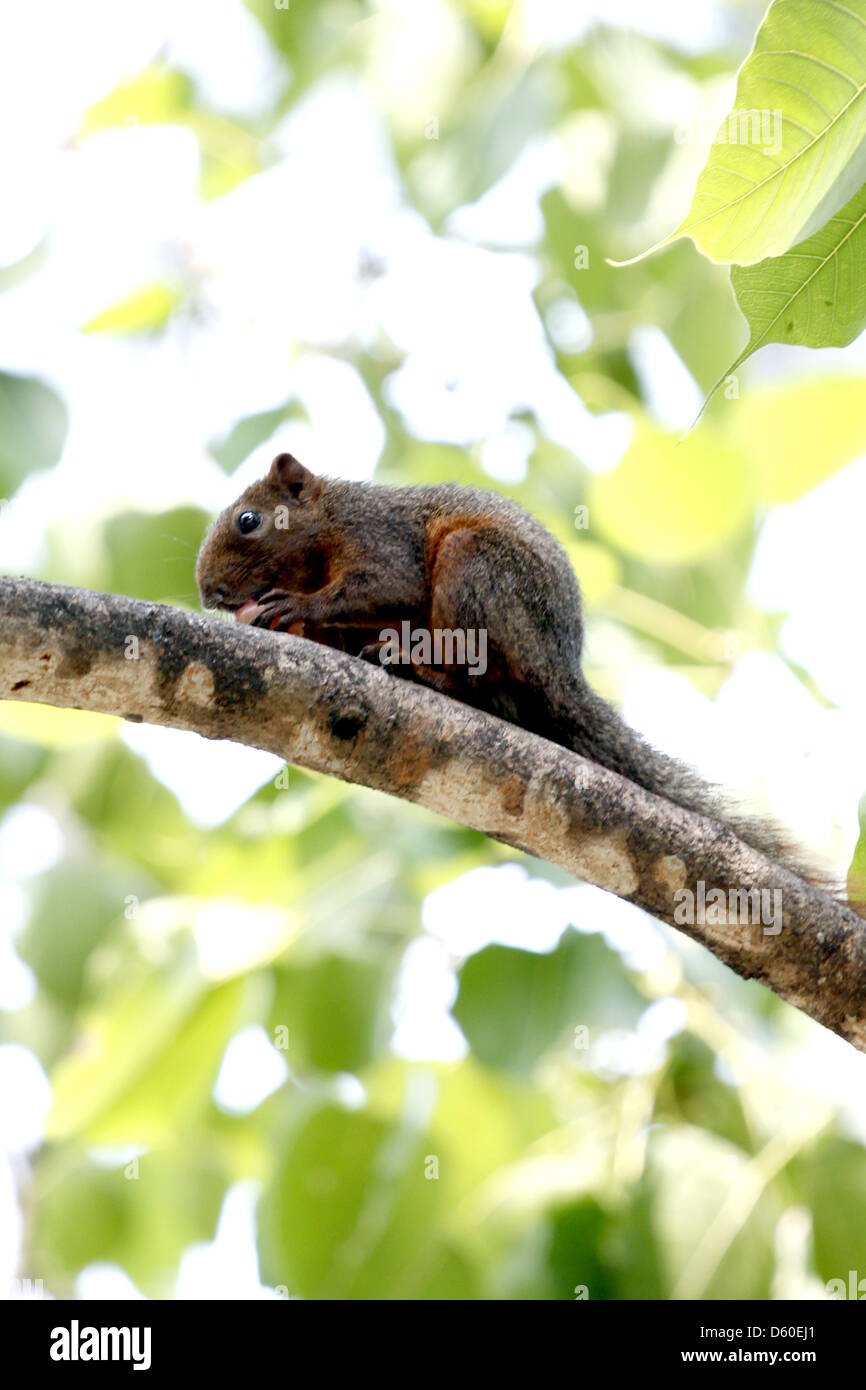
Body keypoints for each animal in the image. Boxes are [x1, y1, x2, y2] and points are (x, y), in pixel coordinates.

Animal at [196, 451, 828, 889]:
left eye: (249, 520)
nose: (209, 593)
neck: (328, 522)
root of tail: (562, 674)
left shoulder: (379, 539)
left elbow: (386, 587)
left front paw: (295, 606)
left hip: (477, 571)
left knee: (481, 684)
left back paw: (416, 668)